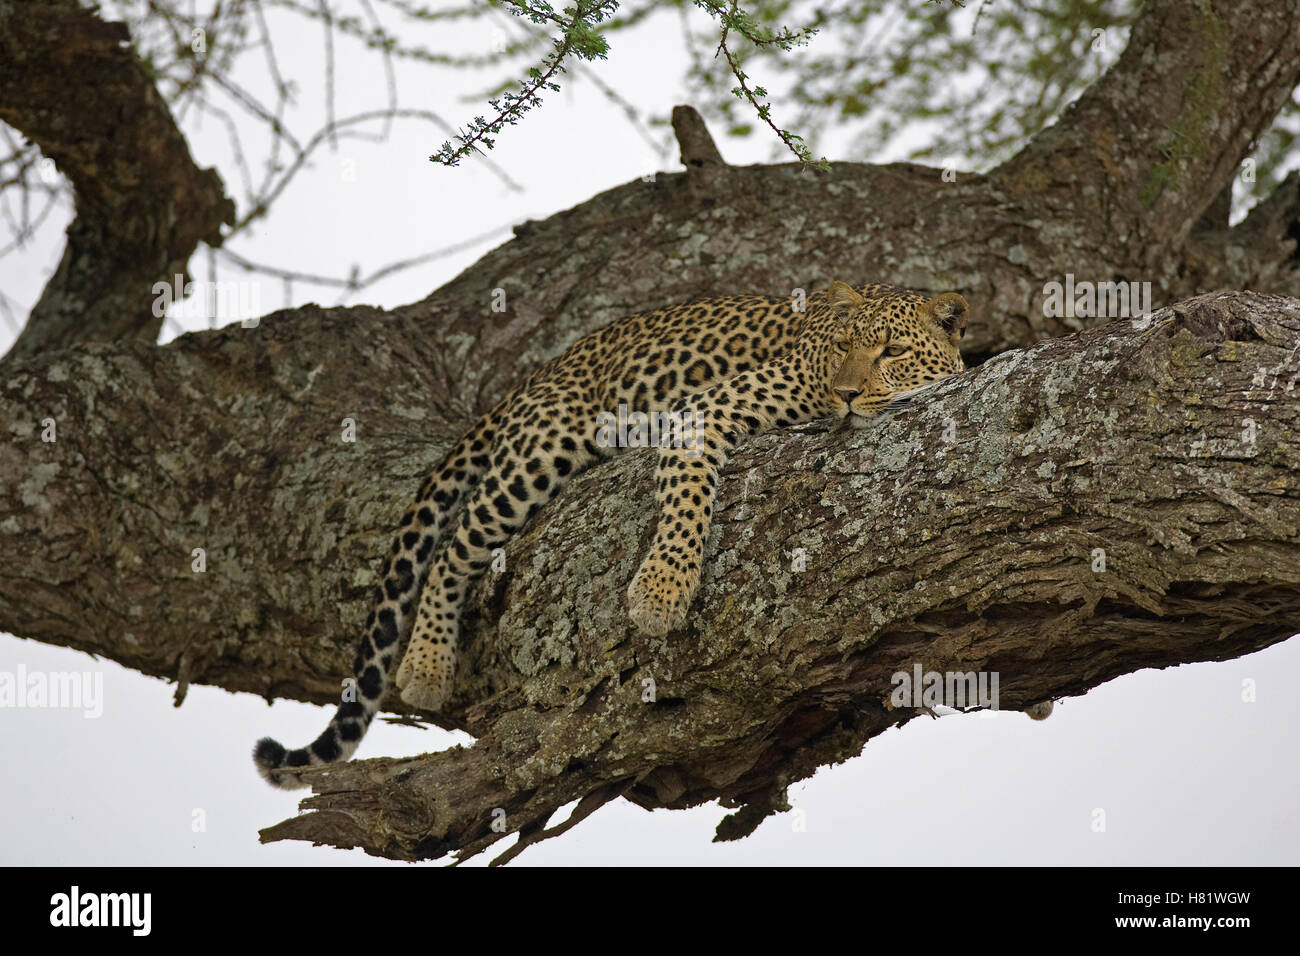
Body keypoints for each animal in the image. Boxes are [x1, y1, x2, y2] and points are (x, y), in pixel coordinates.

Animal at [253, 280, 969, 787]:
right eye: (841, 347)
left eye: (892, 352)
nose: (846, 394)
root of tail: (544, 371)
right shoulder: (701, 410)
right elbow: (687, 502)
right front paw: (660, 593)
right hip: (540, 452)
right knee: (452, 548)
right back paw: (428, 661)